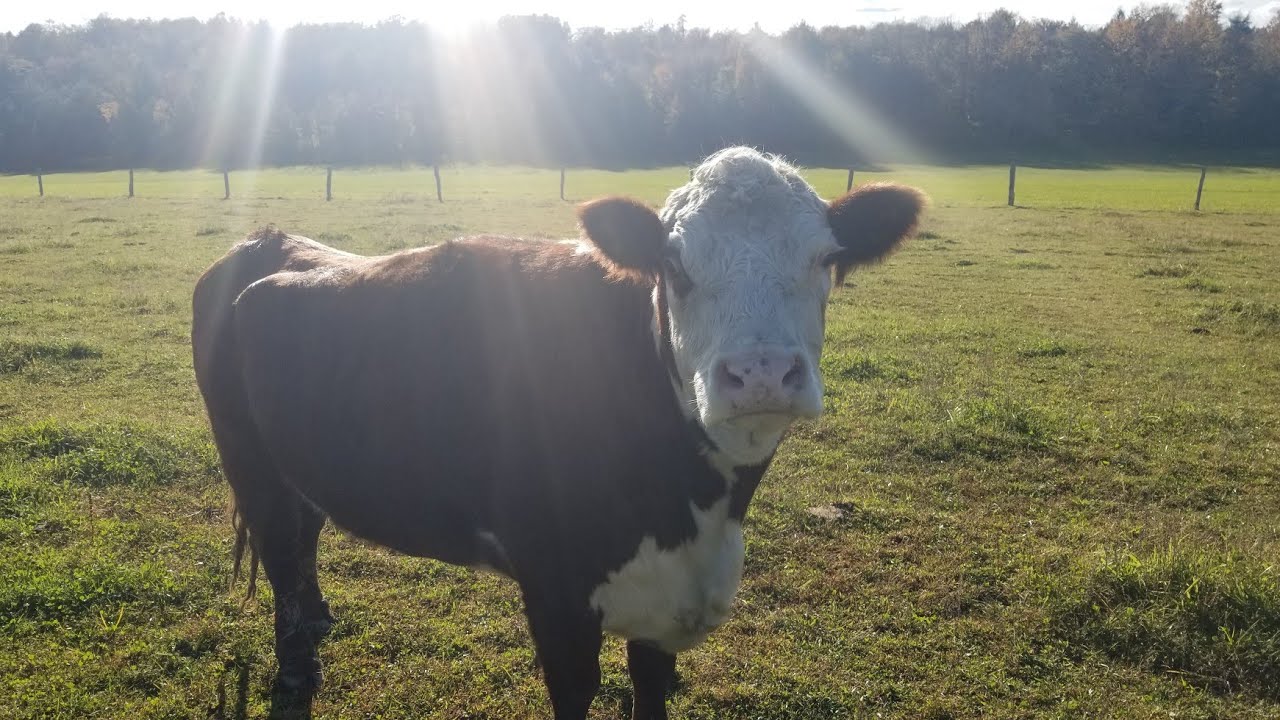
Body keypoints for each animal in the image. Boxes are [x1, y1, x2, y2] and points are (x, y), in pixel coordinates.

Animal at [191, 146, 926, 719]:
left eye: (825, 259)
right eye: (675, 267)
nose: (762, 373)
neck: (697, 517)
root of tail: (264, 242)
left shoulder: (660, 605)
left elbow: (649, 691)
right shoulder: (555, 596)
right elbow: (576, 691)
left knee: (304, 531)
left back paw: (316, 615)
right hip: (246, 458)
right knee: (278, 546)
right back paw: (295, 664)